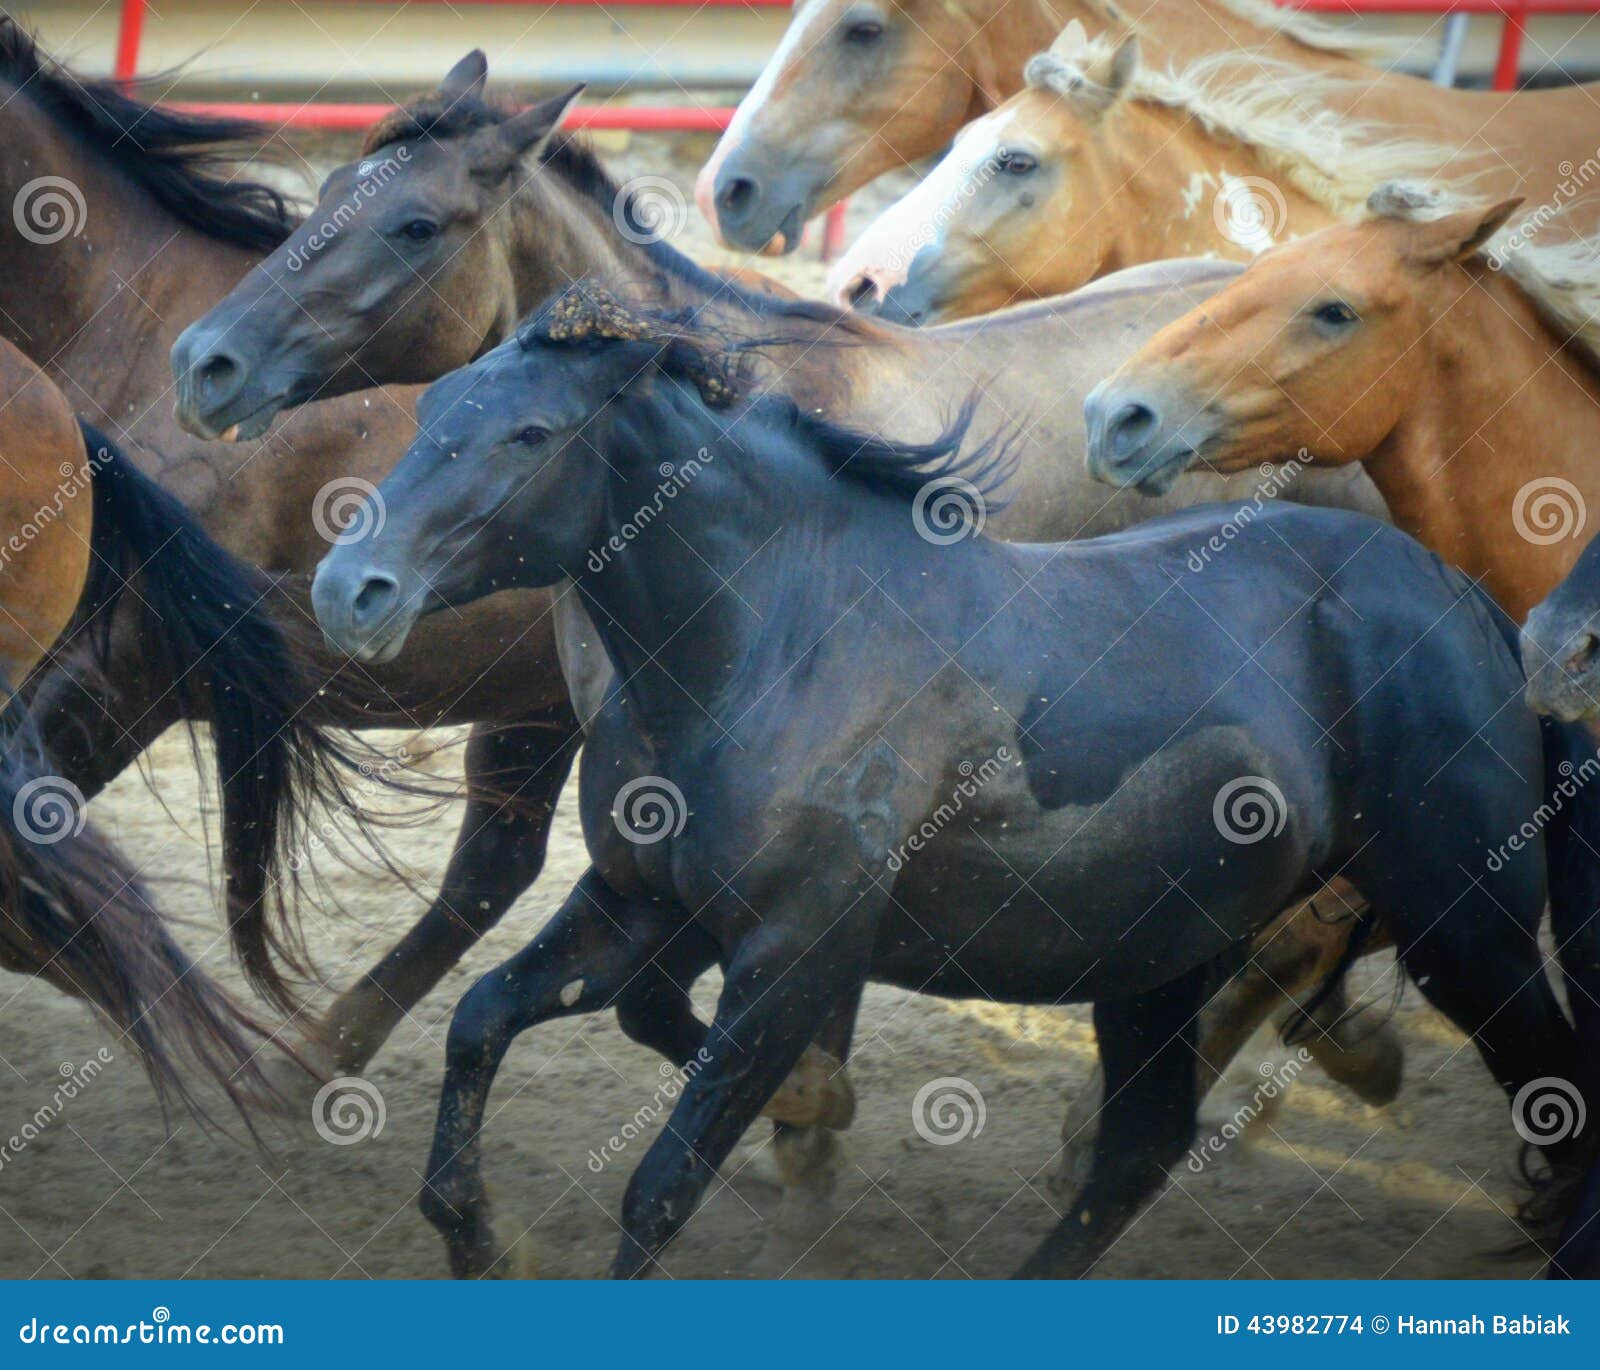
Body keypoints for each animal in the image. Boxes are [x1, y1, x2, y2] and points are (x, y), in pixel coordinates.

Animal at [308, 283, 1600, 1279]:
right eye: (433, 409)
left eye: (528, 434)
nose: (348, 588)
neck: (774, 637)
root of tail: (1472, 609)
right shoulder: (640, 904)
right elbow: (481, 1019)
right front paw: (479, 1238)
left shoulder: (793, 954)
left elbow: (660, 1183)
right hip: (1157, 957)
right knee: (1137, 1149)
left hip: (1465, 928)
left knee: (1559, 1094)